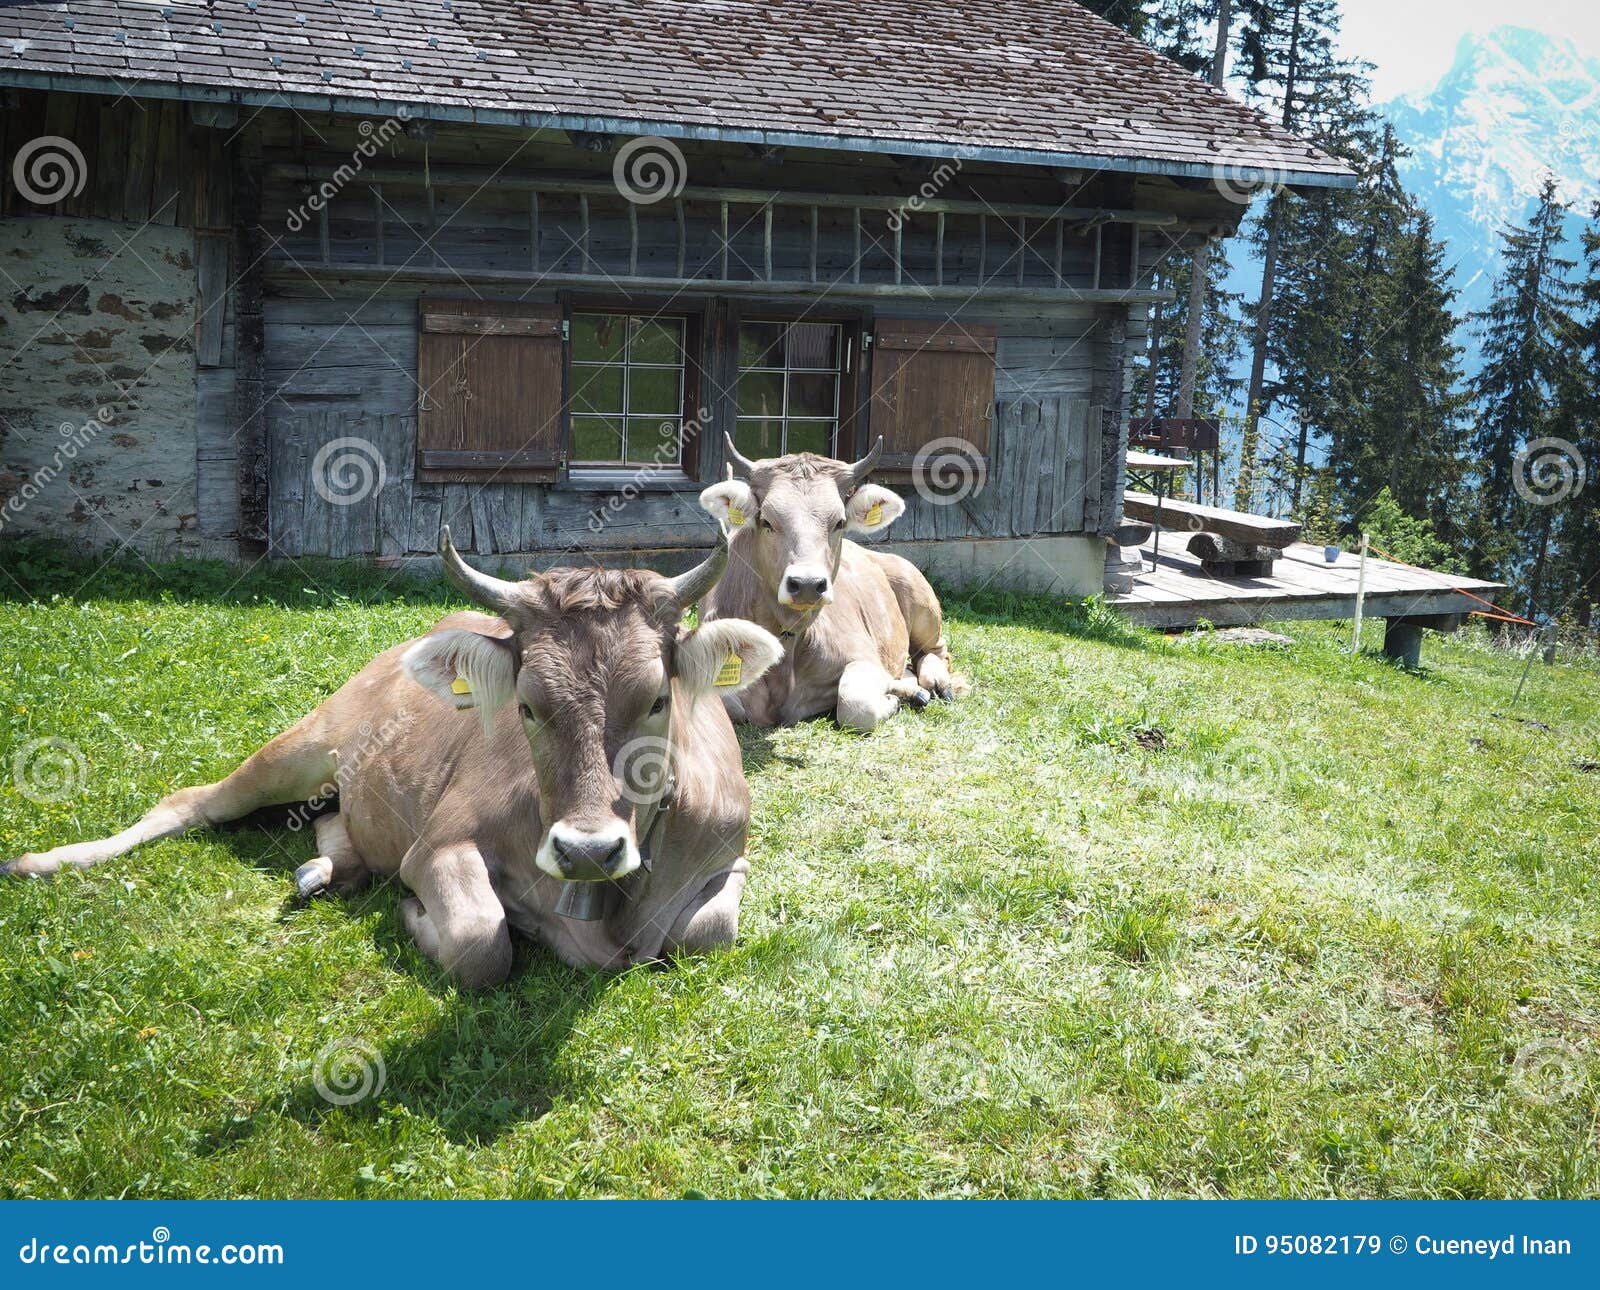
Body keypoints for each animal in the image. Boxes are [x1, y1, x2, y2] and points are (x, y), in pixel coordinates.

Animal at [2, 530, 783, 986]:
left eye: (656, 700)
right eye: (527, 705)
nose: (586, 849)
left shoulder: (731, 855)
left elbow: (709, 933)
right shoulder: (440, 843)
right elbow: (479, 943)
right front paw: (427, 920)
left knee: (334, 827)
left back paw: (322, 872)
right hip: (303, 745)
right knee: (191, 802)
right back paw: (48, 861)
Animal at [696, 435, 964, 733]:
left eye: (839, 522)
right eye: (767, 521)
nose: (807, 584)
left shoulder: (863, 656)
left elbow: (855, 706)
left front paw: (892, 701)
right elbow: (729, 705)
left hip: (919, 596)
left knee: (934, 651)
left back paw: (936, 683)